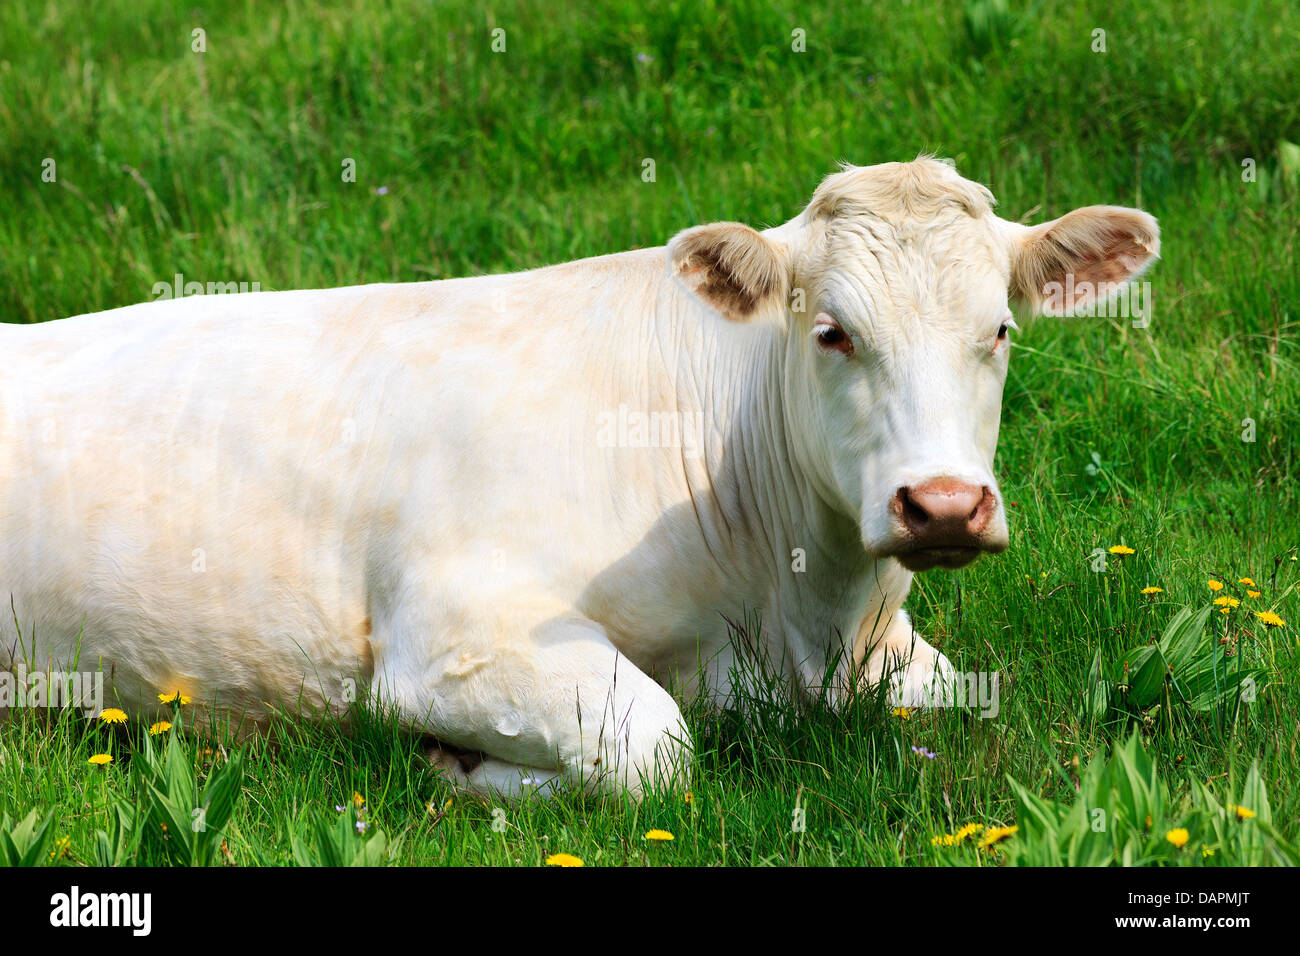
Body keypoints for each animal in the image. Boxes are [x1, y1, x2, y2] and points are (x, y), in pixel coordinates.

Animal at [0, 157, 1158, 797]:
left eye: (998, 329)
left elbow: (961, 701)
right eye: (831, 331)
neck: (797, 613)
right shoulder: (452, 639)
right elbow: (655, 749)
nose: (943, 505)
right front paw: (454, 766)